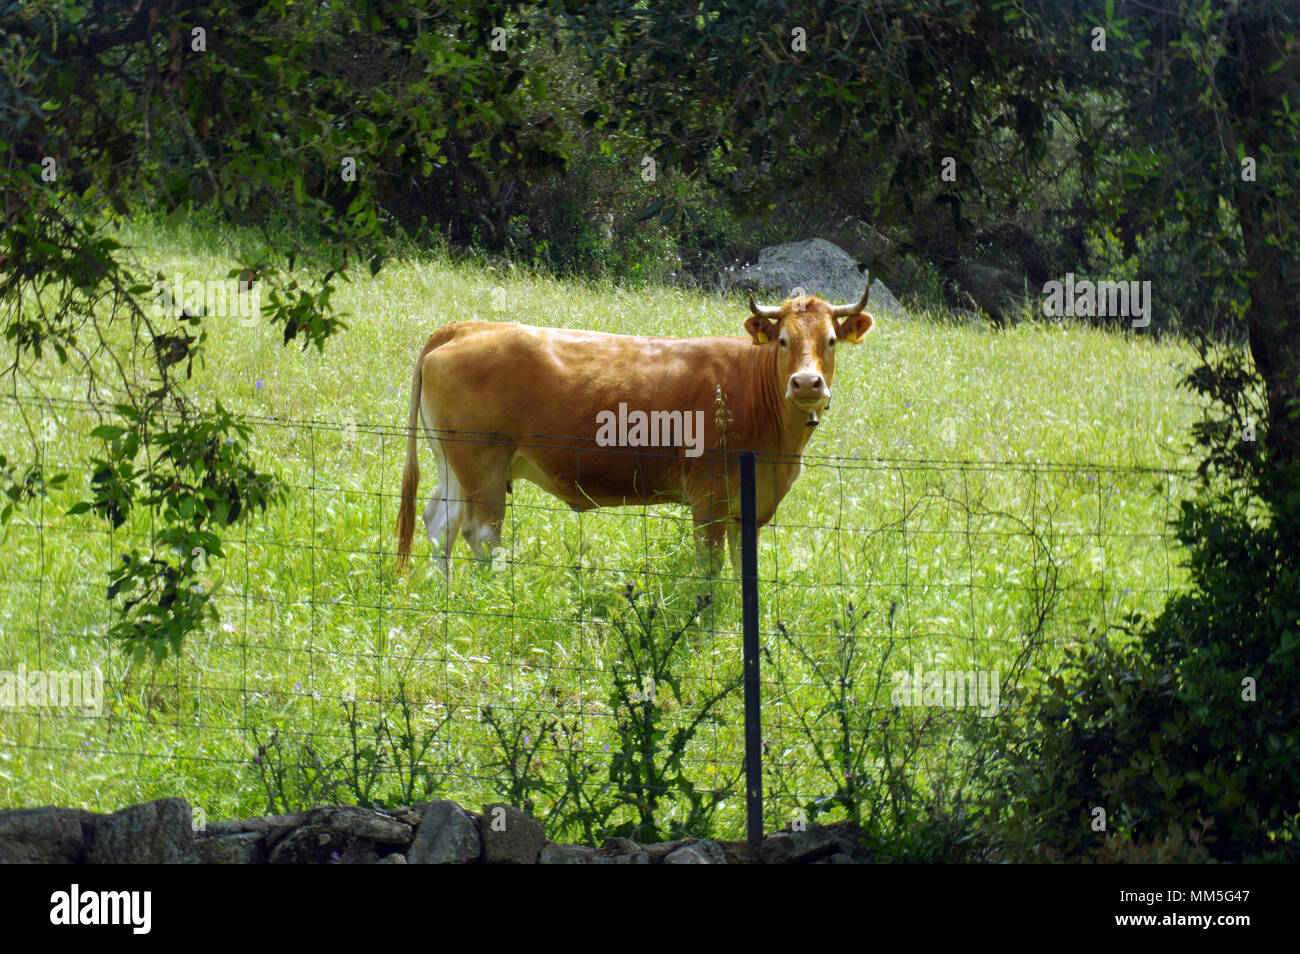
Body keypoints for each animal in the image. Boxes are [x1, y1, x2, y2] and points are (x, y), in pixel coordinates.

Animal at [394, 286, 875, 574]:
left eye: (831, 340)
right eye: (783, 340)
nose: (807, 383)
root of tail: (464, 327)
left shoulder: (753, 504)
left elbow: (744, 567)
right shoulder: (709, 494)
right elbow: (710, 564)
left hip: (454, 464)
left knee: (439, 524)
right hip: (483, 462)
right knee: (480, 533)